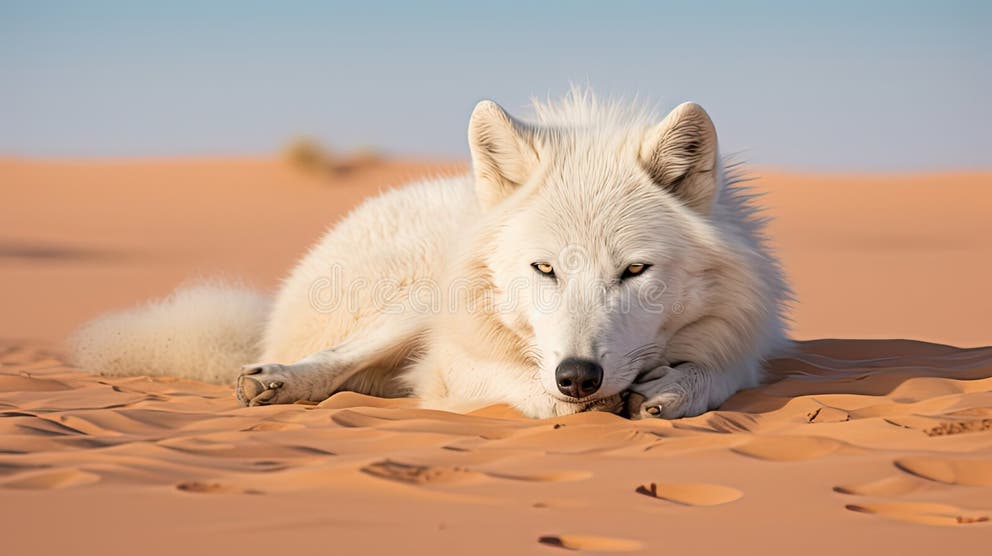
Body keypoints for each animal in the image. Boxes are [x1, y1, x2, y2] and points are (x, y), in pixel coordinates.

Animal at [68, 89, 790, 419]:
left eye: (635, 271)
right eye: (545, 268)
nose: (579, 375)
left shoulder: (742, 345)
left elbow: (712, 375)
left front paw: (669, 388)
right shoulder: (458, 364)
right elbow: (519, 389)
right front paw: (568, 399)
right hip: (415, 301)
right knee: (334, 361)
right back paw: (273, 379)